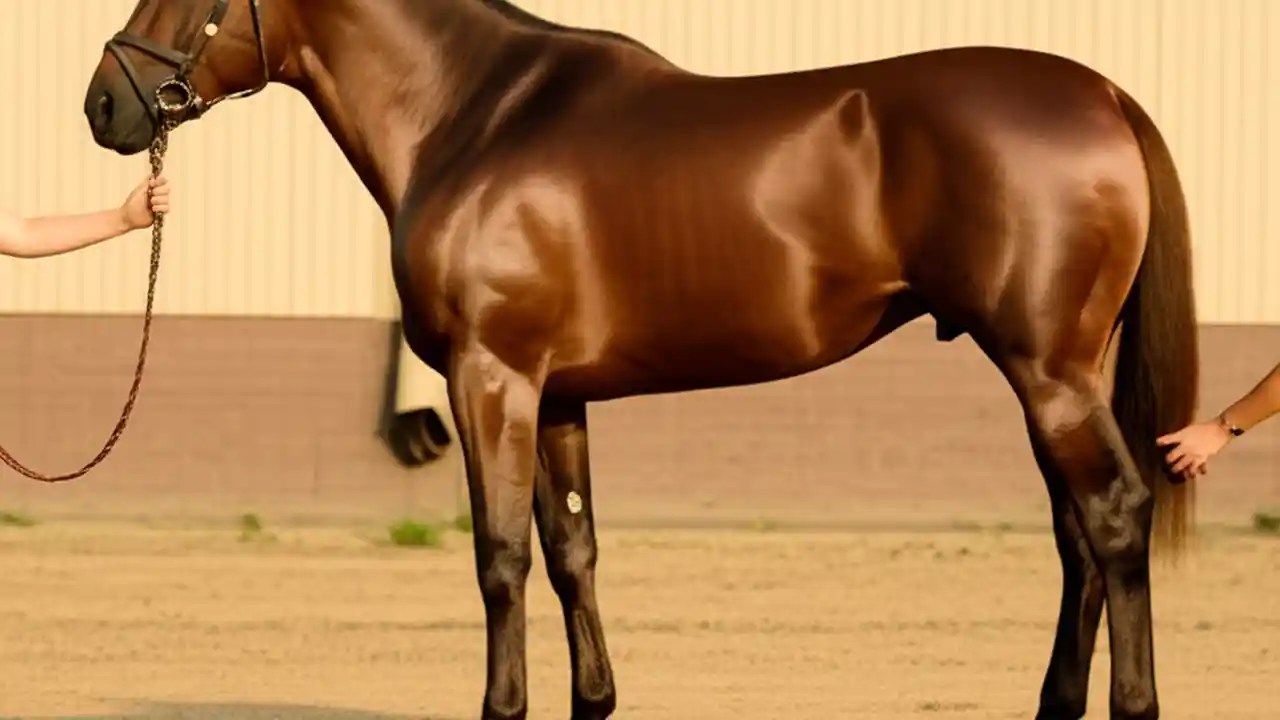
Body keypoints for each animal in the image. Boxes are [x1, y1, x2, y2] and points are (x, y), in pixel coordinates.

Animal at [82, 1, 1199, 718]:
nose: (104, 104)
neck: (475, 114)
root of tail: (1104, 94)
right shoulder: (558, 396)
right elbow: (572, 552)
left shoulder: (491, 379)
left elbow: (500, 559)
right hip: (1065, 374)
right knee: (1076, 537)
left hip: (1047, 372)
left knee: (1111, 516)